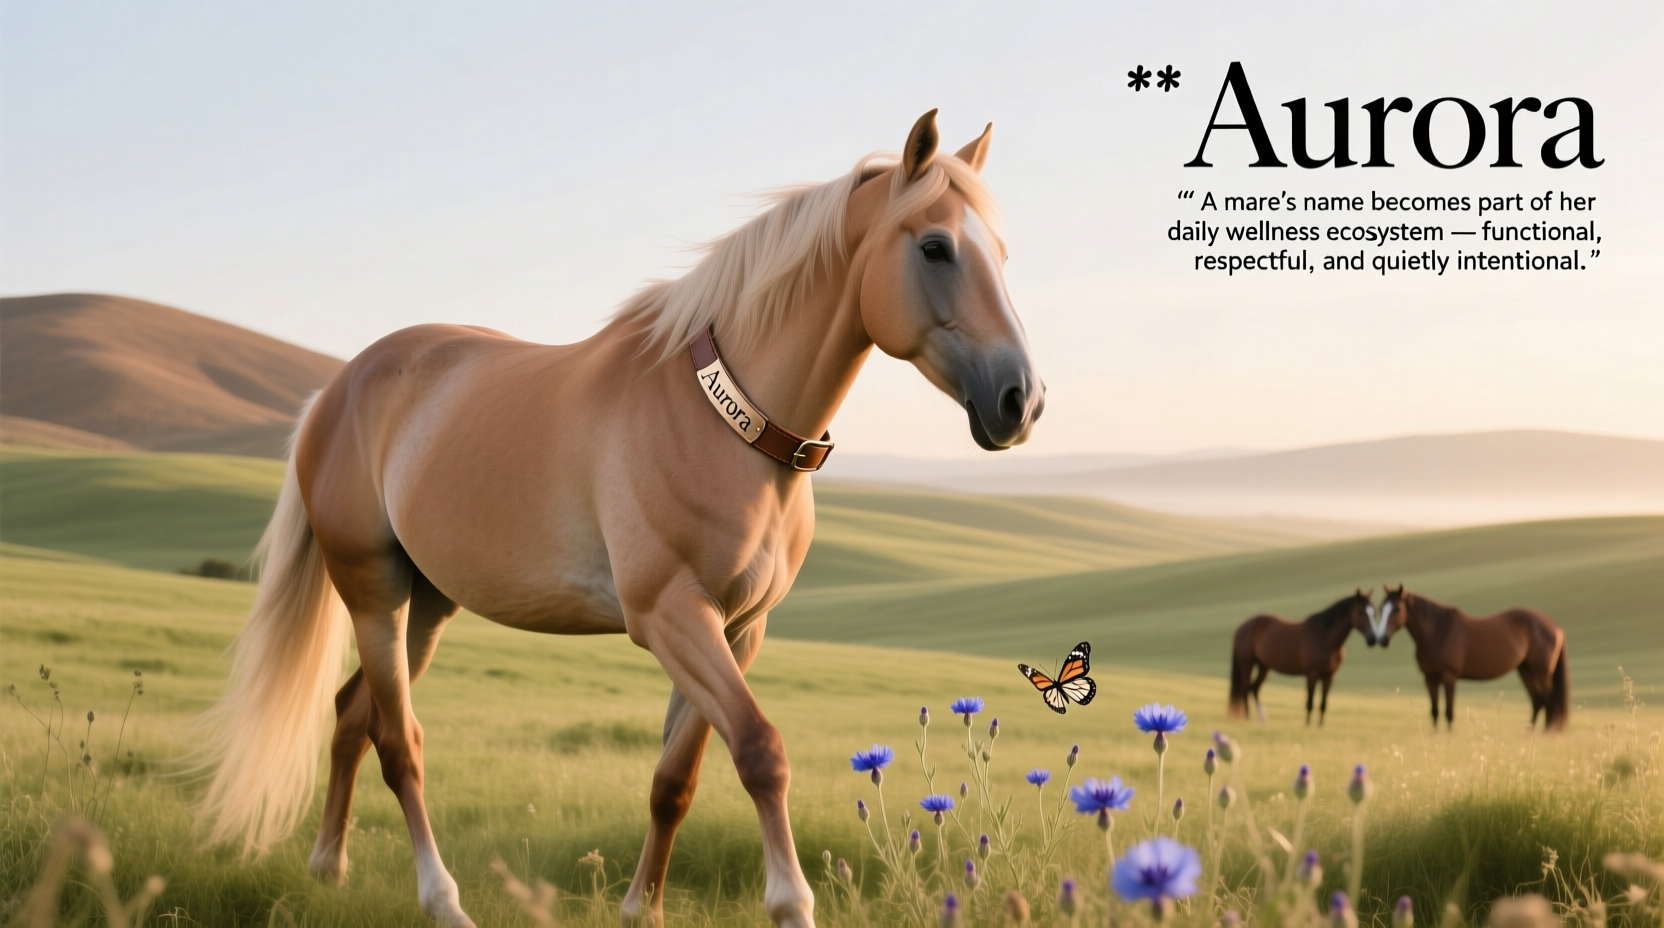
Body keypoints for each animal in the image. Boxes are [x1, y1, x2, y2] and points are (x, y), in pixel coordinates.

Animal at [193, 110, 1044, 928]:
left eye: (1002, 253)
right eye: (935, 247)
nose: (1021, 401)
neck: (720, 421)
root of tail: (337, 389)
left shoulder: (738, 630)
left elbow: (676, 779)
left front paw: (643, 907)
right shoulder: (671, 617)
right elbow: (760, 751)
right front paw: (791, 903)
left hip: (426, 603)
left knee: (350, 716)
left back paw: (327, 868)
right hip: (373, 592)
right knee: (399, 742)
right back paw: (442, 900)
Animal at [1227, 590, 1372, 726]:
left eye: (1373, 611)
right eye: (1361, 612)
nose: (1373, 638)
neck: (1325, 637)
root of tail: (1241, 627)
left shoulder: (1329, 675)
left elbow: (1323, 704)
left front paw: (1320, 726)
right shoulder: (1312, 674)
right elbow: (1310, 702)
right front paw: (1307, 726)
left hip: (1264, 666)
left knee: (1254, 688)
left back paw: (1263, 720)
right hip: (1247, 663)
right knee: (1245, 689)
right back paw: (1248, 719)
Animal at [1369, 585, 1569, 731]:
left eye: (1397, 609)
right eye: (1380, 608)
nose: (1382, 639)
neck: (1438, 633)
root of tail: (1555, 626)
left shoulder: (1449, 676)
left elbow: (1449, 711)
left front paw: (1449, 737)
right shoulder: (1430, 678)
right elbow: (1434, 710)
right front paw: (1434, 737)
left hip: (1542, 673)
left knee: (1549, 701)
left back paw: (1546, 733)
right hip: (1525, 670)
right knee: (1538, 700)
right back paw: (1529, 733)